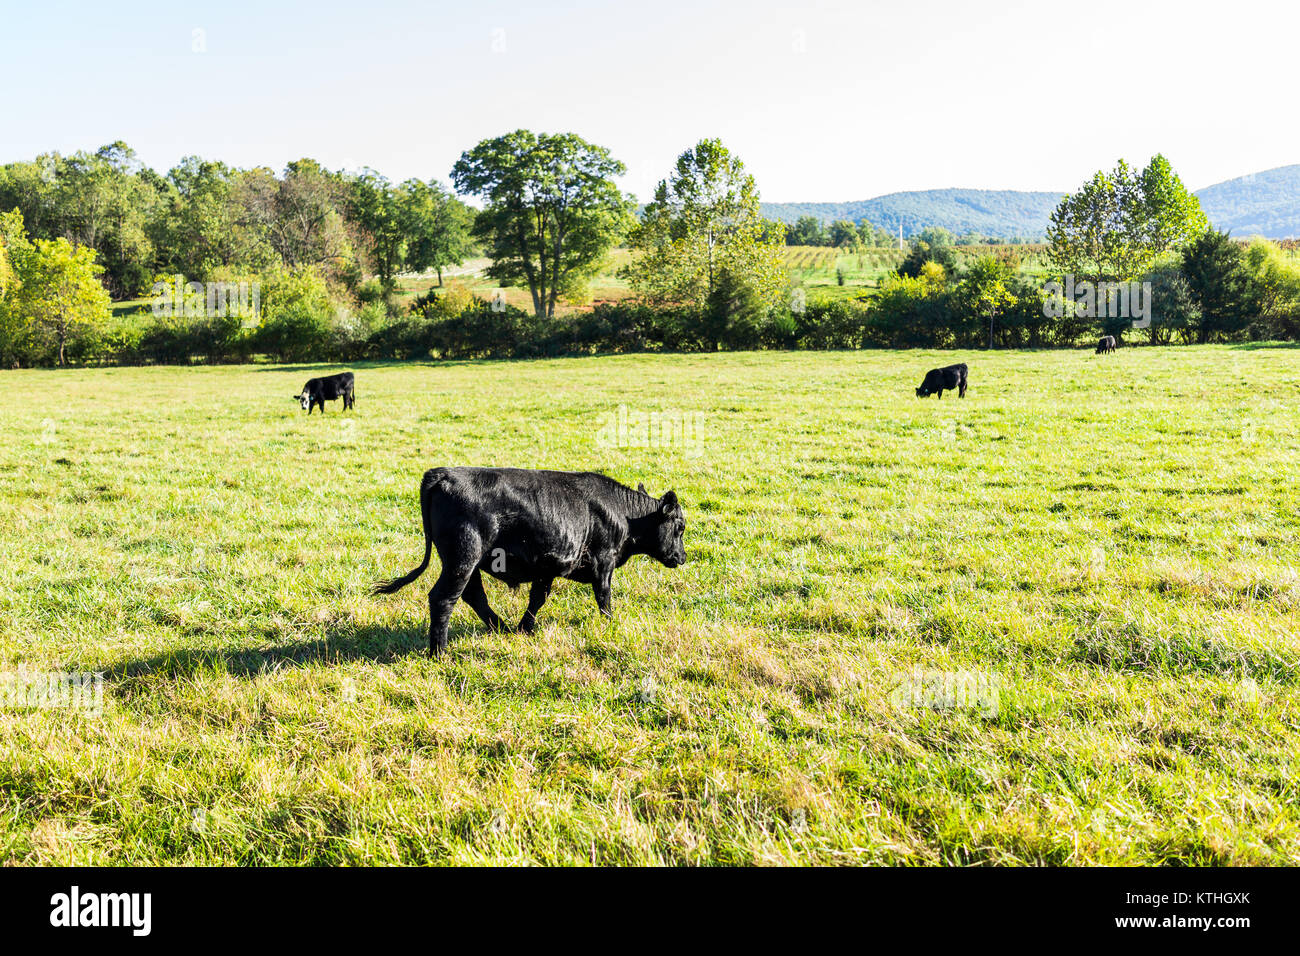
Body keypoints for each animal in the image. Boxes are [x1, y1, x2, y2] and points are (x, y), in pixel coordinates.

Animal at [373, 467, 687, 655]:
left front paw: (525, 628)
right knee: (443, 598)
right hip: (463, 558)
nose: (682, 557)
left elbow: (538, 598)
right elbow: (604, 596)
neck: (622, 513)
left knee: (474, 596)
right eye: (680, 527)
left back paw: (502, 628)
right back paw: (439, 652)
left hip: (467, 564)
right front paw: (610, 623)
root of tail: (442, 474)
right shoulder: (603, 562)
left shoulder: (548, 565)